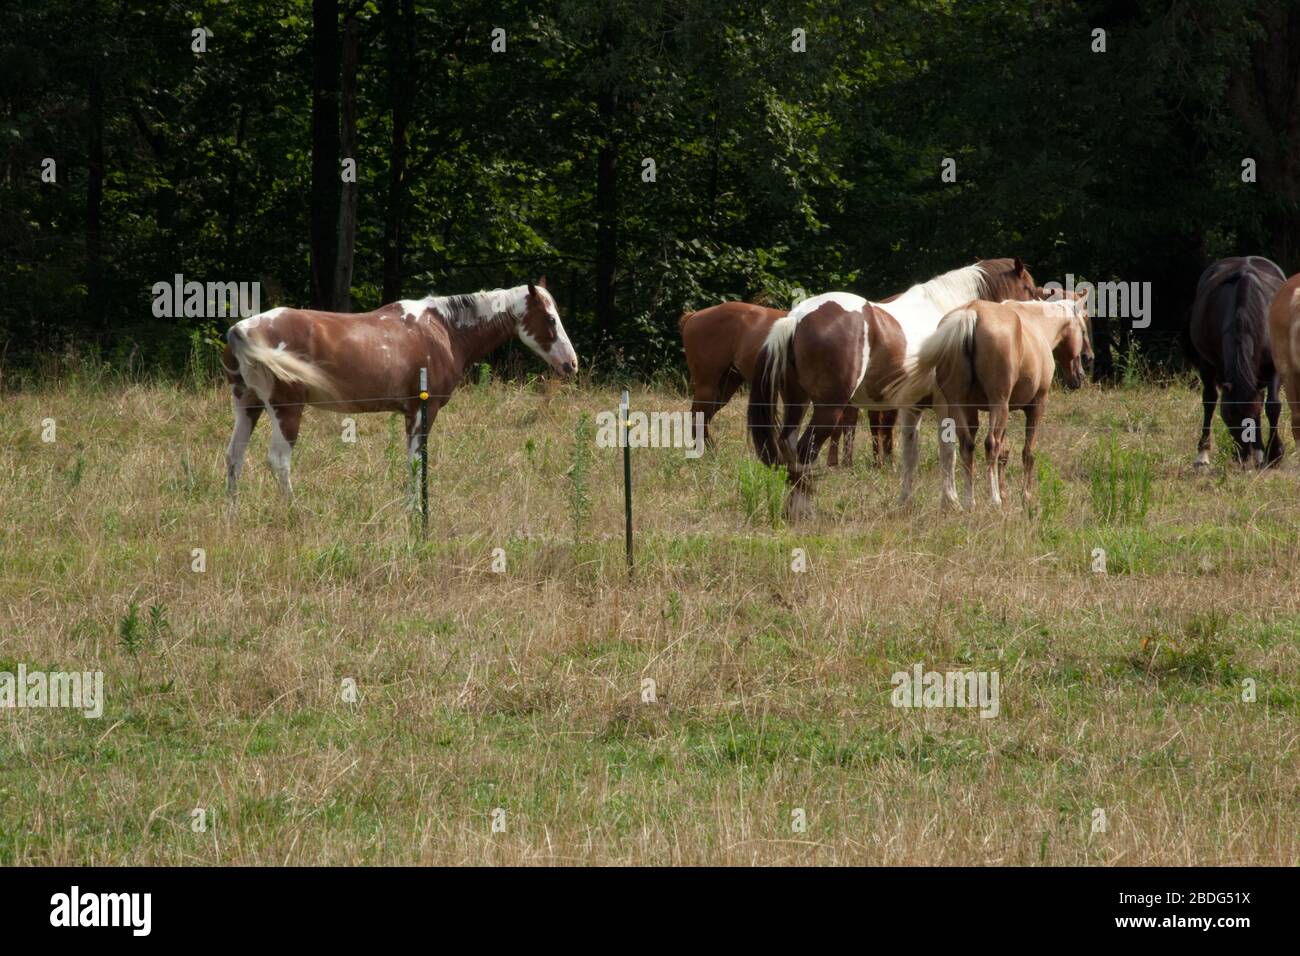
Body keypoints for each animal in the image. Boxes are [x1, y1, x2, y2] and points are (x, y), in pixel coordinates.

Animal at [222, 278, 577, 500]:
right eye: (550, 320)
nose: (571, 364)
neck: (443, 330)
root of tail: (240, 329)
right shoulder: (423, 410)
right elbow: (416, 464)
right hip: (286, 412)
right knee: (279, 461)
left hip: (247, 407)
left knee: (234, 457)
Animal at [679, 302, 859, 465]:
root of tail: (693, 316)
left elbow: (848, 426)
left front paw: (845, 464)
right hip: (707, 384)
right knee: (697, 417)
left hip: (725, 386)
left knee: (704, 416)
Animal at [747, 258, 1043, 515]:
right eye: (1028, 288)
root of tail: (796, 319)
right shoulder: (945, 405)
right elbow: (948, 451)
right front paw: (952, 502)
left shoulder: (912, 407)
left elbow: (909, 455)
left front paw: (906, 502)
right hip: (829, 408)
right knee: (805, 451)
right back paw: (804, 511)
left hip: (797, 403)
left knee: (789, 447)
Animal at [903, 294, 1091, 510]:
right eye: (1082, 330)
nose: (1082, 371)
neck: (1037, 325)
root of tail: (972, 312)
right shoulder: (1035, 406)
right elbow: (1027, 452)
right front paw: (1025, 497)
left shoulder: (981, 410)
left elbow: (1003, 452)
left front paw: (1005, 493)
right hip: (998, 404)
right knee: (991, 444)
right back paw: (994, 500)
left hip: (959, 404)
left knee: (967, 445)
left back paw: (970, 501)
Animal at [1187, 256, 1286, 467]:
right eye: (1229, 417)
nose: (1243, 454)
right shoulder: (1210, 365)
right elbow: (1210, 399)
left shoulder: (1275, 366)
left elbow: (1272, 405)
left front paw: (1274, 453)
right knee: (1210, 399)